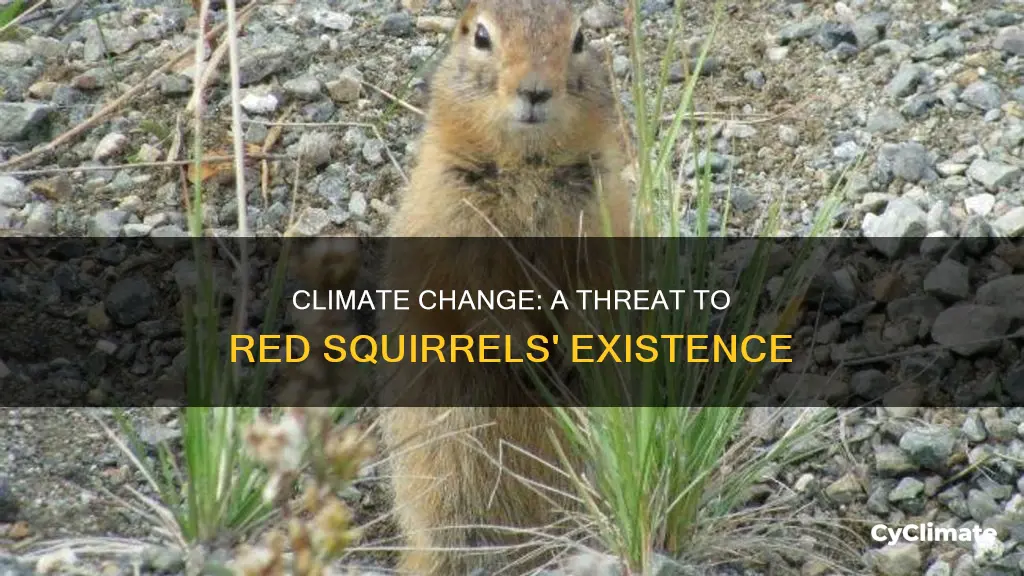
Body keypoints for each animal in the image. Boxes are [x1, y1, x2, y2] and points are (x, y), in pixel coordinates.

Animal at [377, 0, 633, 574]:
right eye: (480, 36)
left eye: (579, 38)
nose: (535, 90)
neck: (528, 165)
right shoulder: (454, 217)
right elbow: (476, 295)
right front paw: (528, 356)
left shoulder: (601, 214)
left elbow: (598, 287)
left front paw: (572, 351)